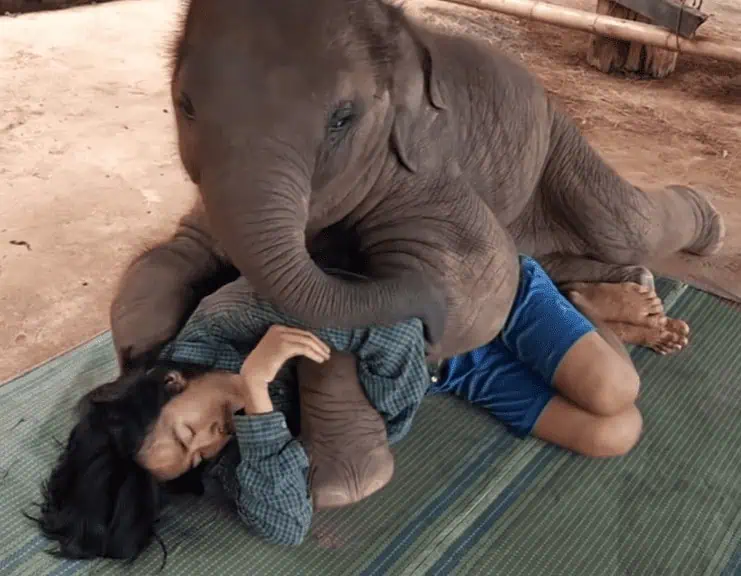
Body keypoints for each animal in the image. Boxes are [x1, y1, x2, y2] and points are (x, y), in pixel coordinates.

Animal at [110, 0, 724, 508]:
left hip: (556, 134)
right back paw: (640, 309)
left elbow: (479, 284)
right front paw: (145, 347)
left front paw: (346, 485)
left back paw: (699, 242)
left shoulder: (419, 164)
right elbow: (168, 257)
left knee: (622, 226)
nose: (156, 369)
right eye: (185, 106)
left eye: (343, 118)